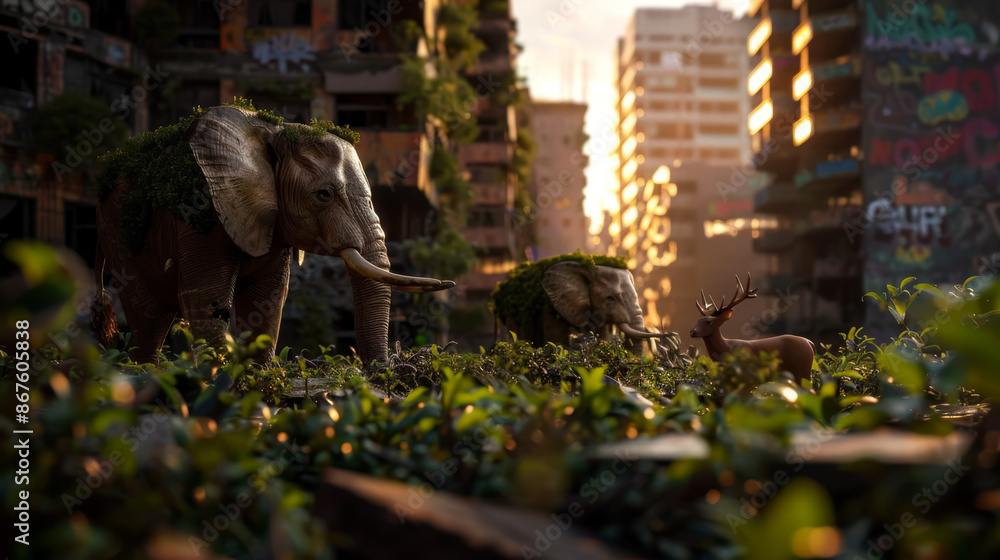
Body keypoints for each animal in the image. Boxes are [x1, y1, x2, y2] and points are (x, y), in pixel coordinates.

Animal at [91, 104, 454, 366]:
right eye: (324, 195)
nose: (385, 370)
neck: (273, 132)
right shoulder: (202, 210)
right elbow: (208, 299)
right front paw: (222, 377)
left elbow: (267, 298)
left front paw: (257, 375)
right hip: (117, 236)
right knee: (148, 316)